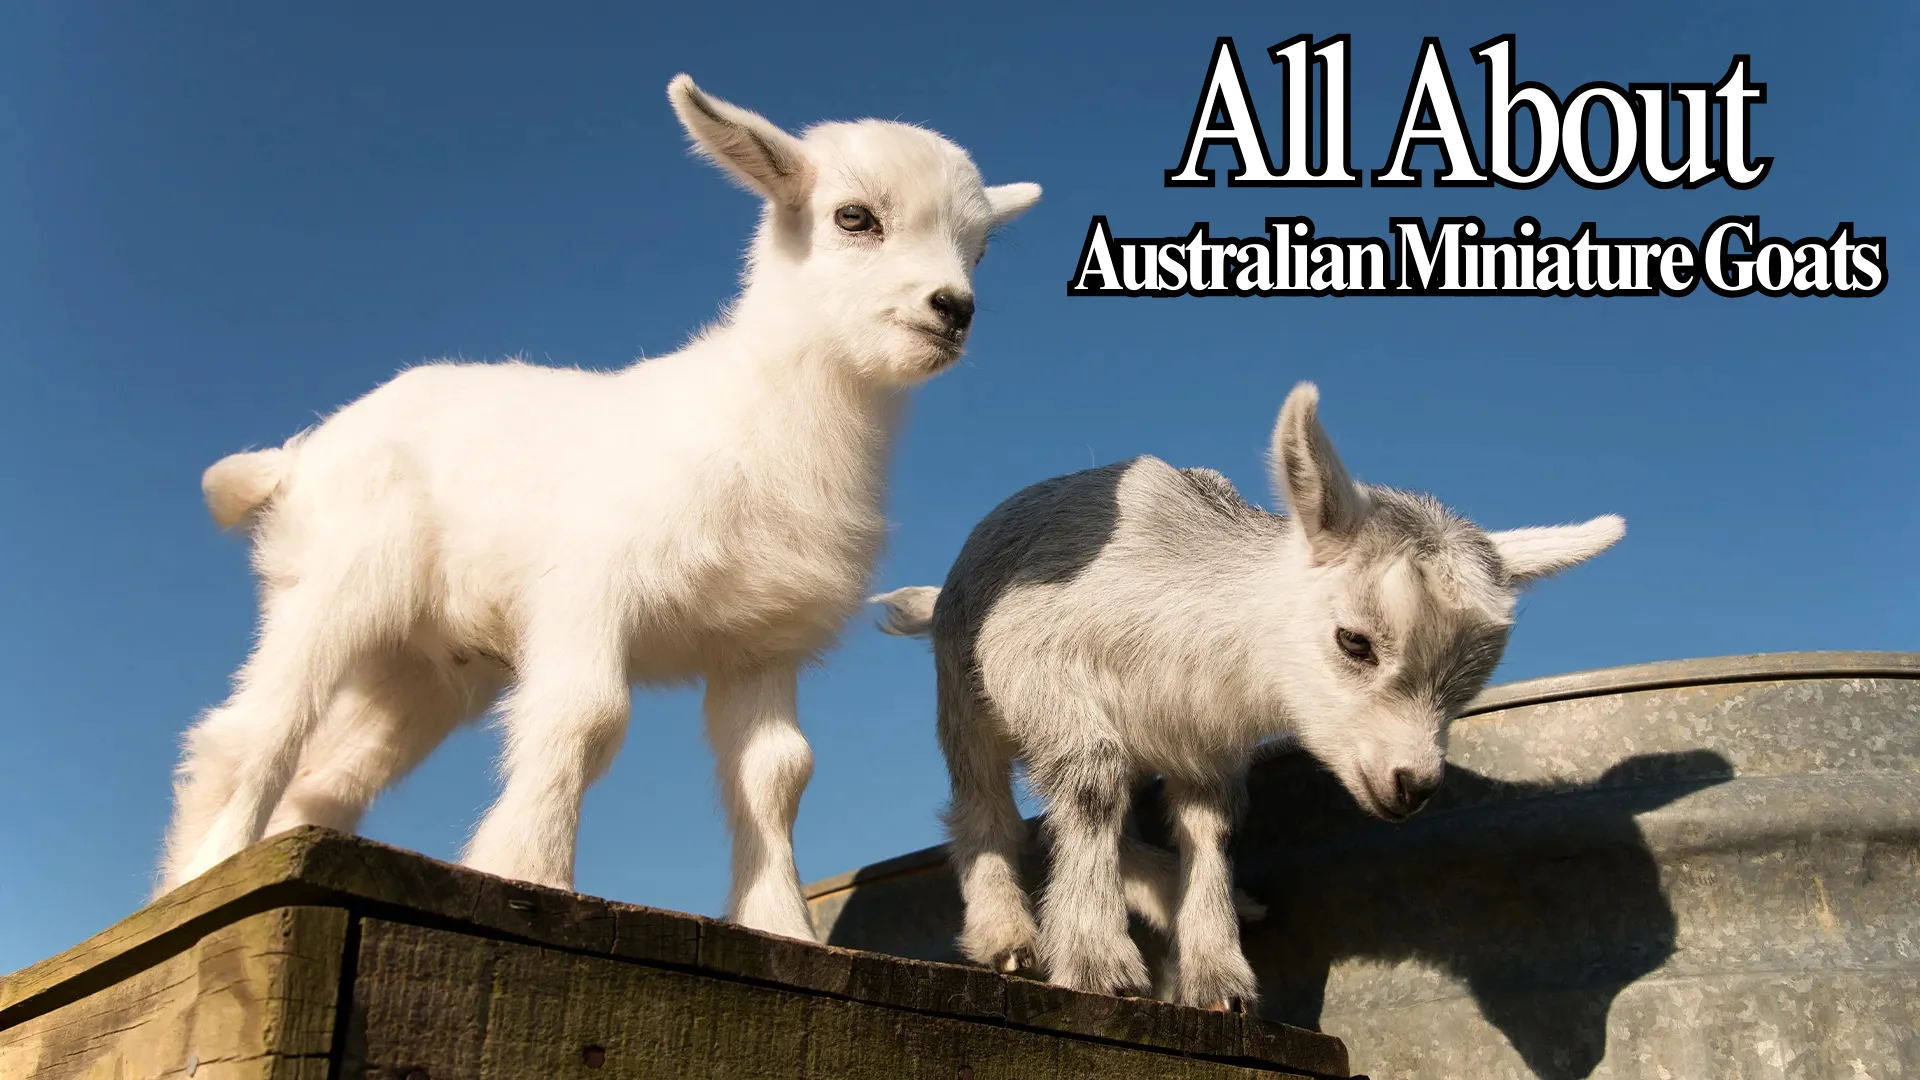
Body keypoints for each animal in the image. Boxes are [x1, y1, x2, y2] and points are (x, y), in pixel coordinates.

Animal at [155, 75, 1041, 945]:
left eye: (980, 248)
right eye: (854, 217)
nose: (952, 308)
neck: (749, 410)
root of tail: (298, 453)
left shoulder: (761, 642)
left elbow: (779, 773)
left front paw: (780, 925)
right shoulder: (589, 593)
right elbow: (584, 719)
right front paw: (529, 871)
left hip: (424, 669)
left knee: (326, 776)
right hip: (339, 579)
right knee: (252, 730)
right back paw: (200, 880)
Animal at [871, 382, 1623, 1005]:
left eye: (1470, 680)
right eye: (1354, 642)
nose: (1413, 785)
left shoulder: (1206, 743)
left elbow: (1211, 825)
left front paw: (1217, 976)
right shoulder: (1039, 664)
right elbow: (1091, 787)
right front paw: (1096, 960)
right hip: (965, 694)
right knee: (984, 804)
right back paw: (1007, 935)